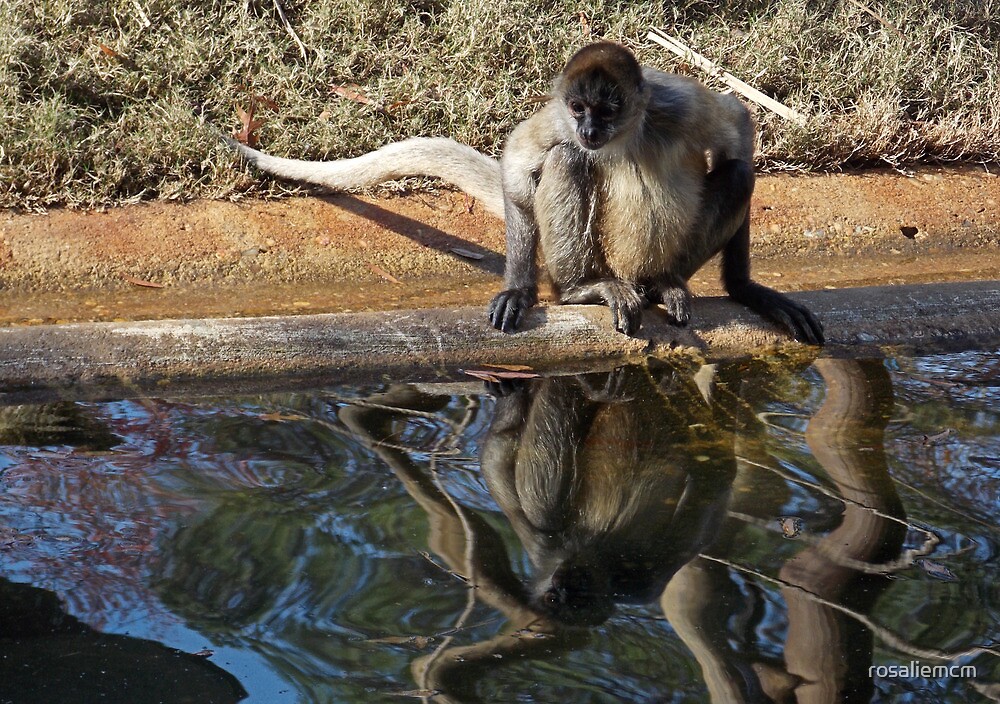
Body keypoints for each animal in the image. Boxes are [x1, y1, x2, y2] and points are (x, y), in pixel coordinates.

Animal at [225, 42, 823, 344]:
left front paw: (747, 289)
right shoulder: (560, 119)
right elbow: (518, 168)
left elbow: (738, 132)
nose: (589, 129)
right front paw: (518, 288)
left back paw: (662, 284)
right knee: (563, 159)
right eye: (579, 108)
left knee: (737, 172)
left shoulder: (671, 101)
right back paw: (583, 290)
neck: (627, 134)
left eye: (607, 109)